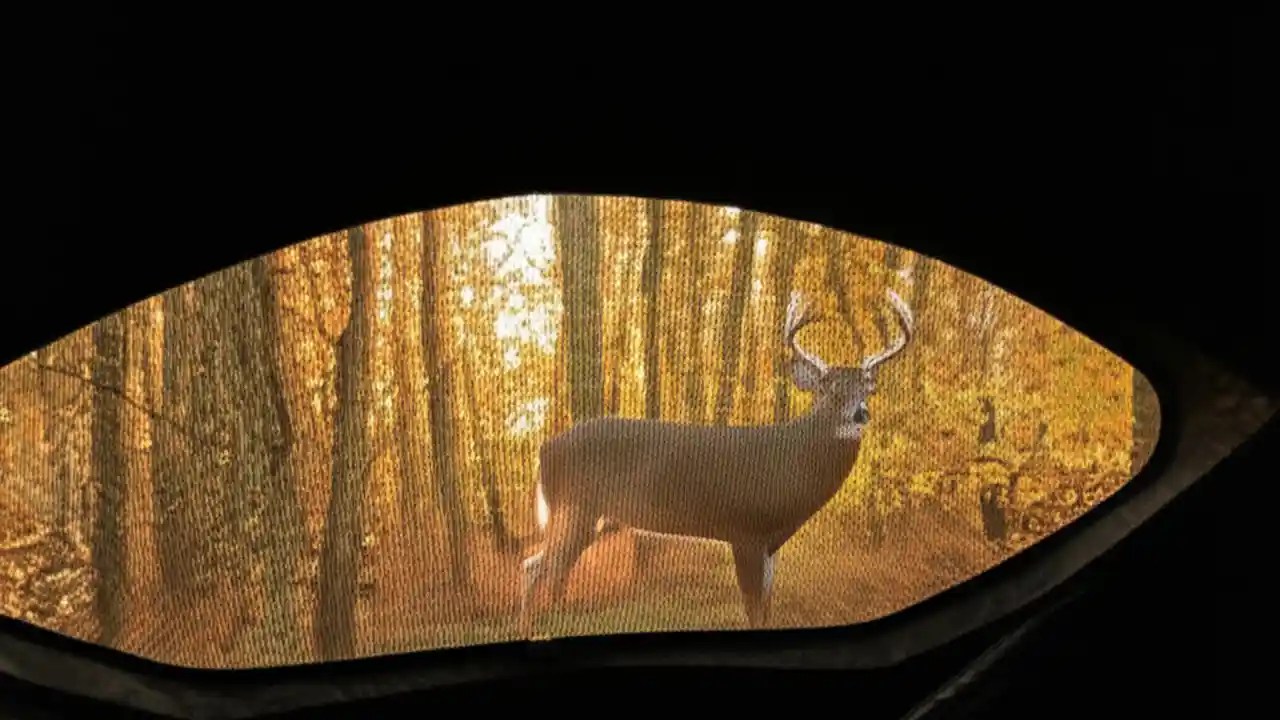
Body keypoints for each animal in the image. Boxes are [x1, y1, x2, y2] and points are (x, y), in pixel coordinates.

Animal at [518, 287, 915, 635]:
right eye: (829, 387)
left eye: (867, 387)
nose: (859, 414)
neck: (791, 465)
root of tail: (544, 448)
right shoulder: (745, 530)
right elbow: (753, 609)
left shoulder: (771, 544)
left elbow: (766, 607)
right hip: (576, 506)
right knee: (539, 568)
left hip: (596, 517)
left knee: (538, 566)